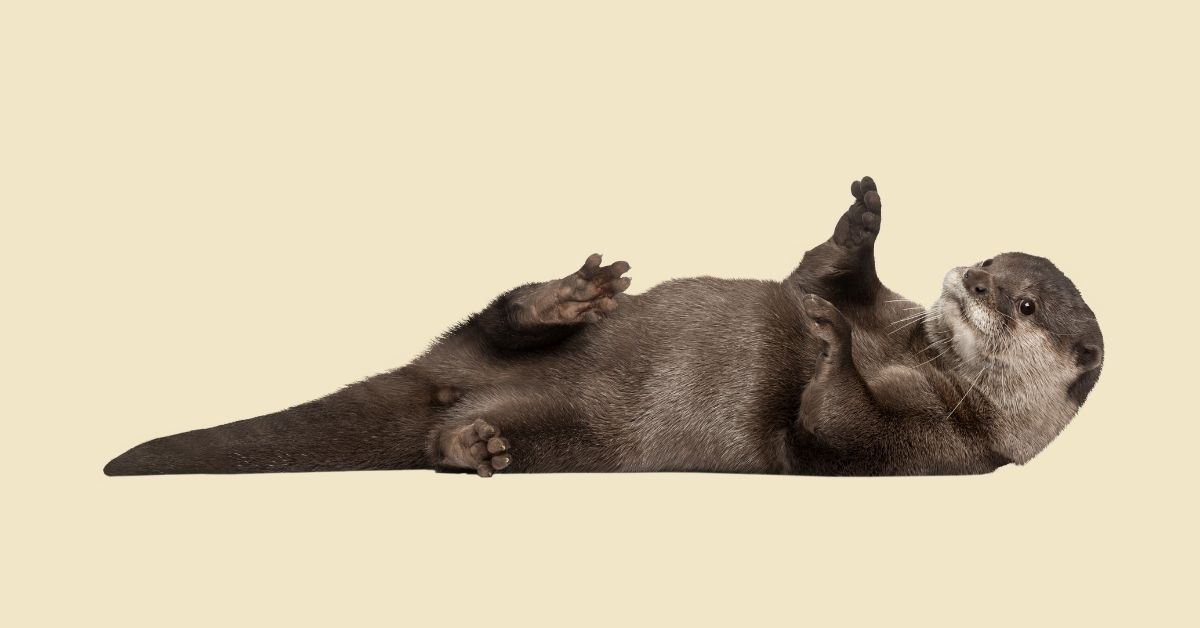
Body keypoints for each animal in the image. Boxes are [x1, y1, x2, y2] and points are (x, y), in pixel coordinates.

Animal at [104, 176, 1104, 477]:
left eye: (1023, 306)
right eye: (994, 258)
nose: (976, 278)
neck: (911, 353)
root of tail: (448, 380)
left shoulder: (935, 449)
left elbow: (825, 424)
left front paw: (828, 347)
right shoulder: (885, 311)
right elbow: (816, 278)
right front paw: (855, 239)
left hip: (568, 433)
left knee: (435, 438)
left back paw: (472, 443)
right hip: (482, 344)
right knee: (497, 320)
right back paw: (564, 300)